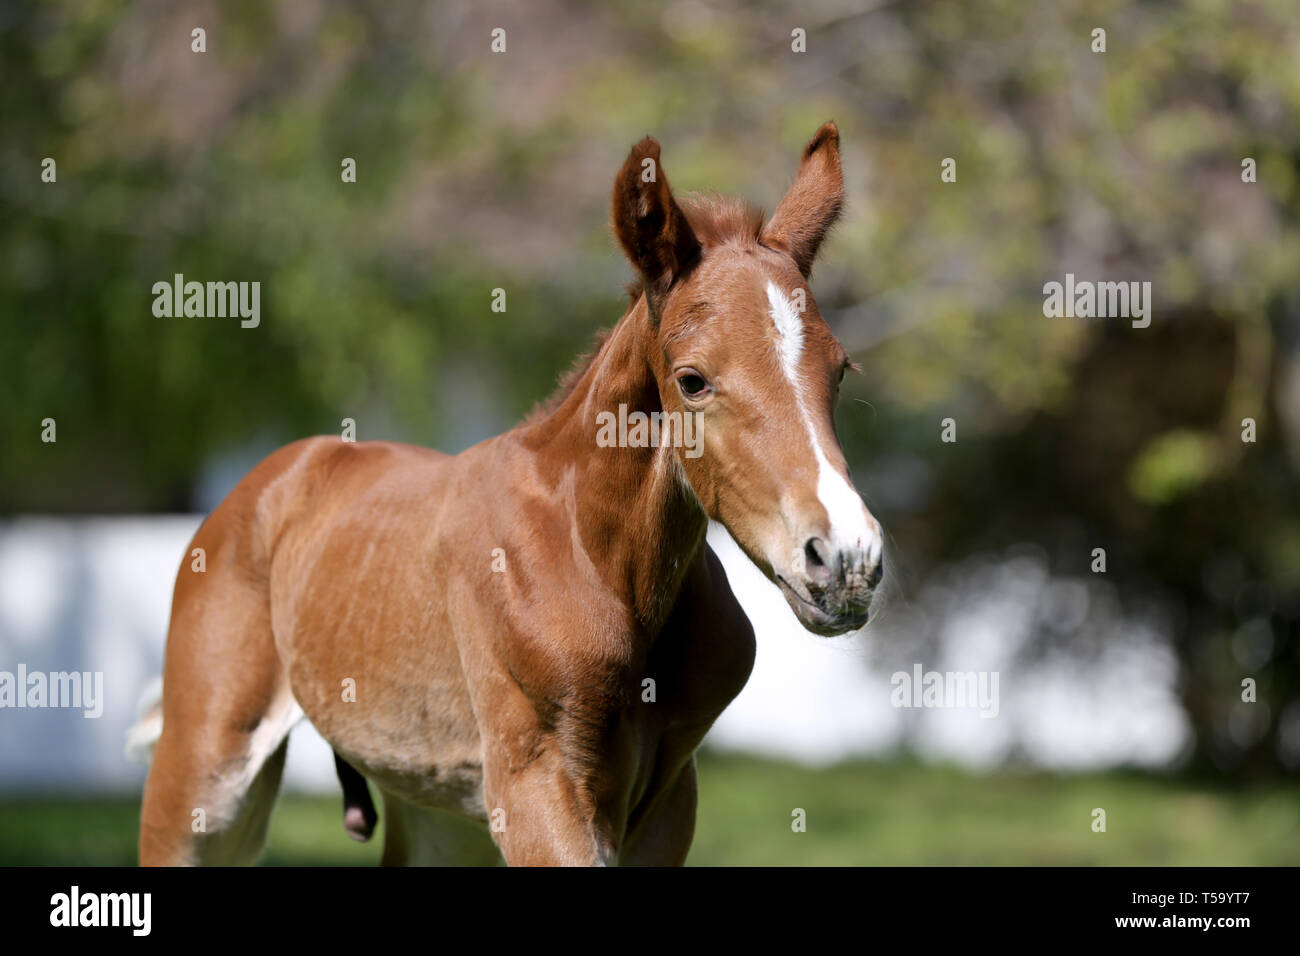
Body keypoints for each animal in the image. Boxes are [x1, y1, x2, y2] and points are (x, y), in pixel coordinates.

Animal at [133, 121, 885, 866]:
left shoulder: (668, 804)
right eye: (693, 380)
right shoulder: (537, 790)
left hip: (437, 809)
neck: (595, 557)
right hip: (203, 775)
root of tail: (276, 476)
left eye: (841, 369)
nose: (846, 558)